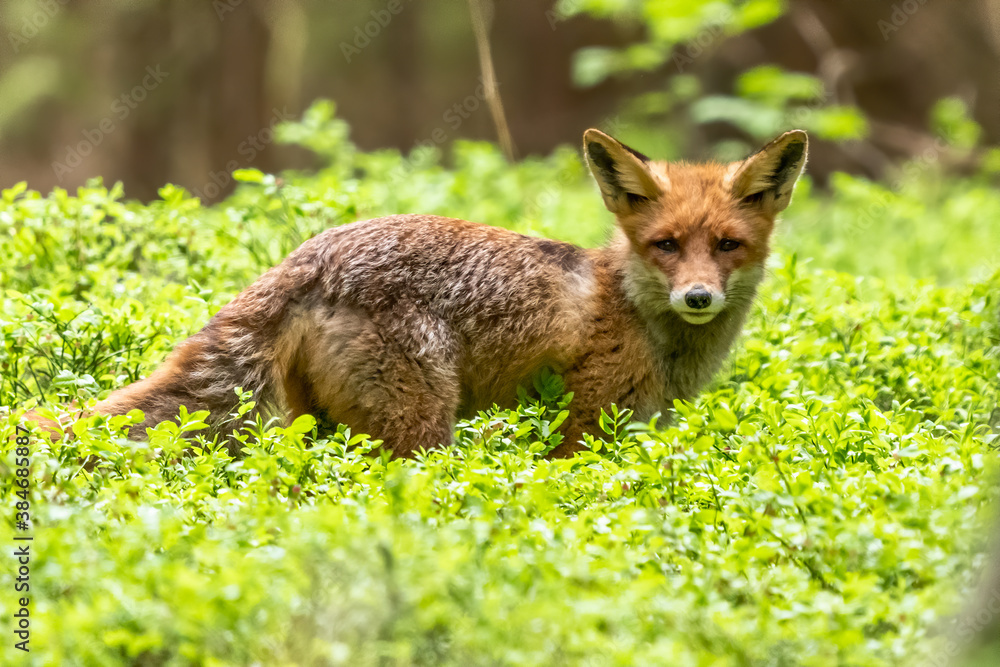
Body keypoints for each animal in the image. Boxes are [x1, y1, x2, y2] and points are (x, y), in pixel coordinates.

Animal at [27, 128, 808, 458]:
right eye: (666, 245)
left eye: (728, 246)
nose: (698, 298)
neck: (633, 309)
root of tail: (307, 258)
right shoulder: (587, 427)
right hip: (422, 430)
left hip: (327, 424)